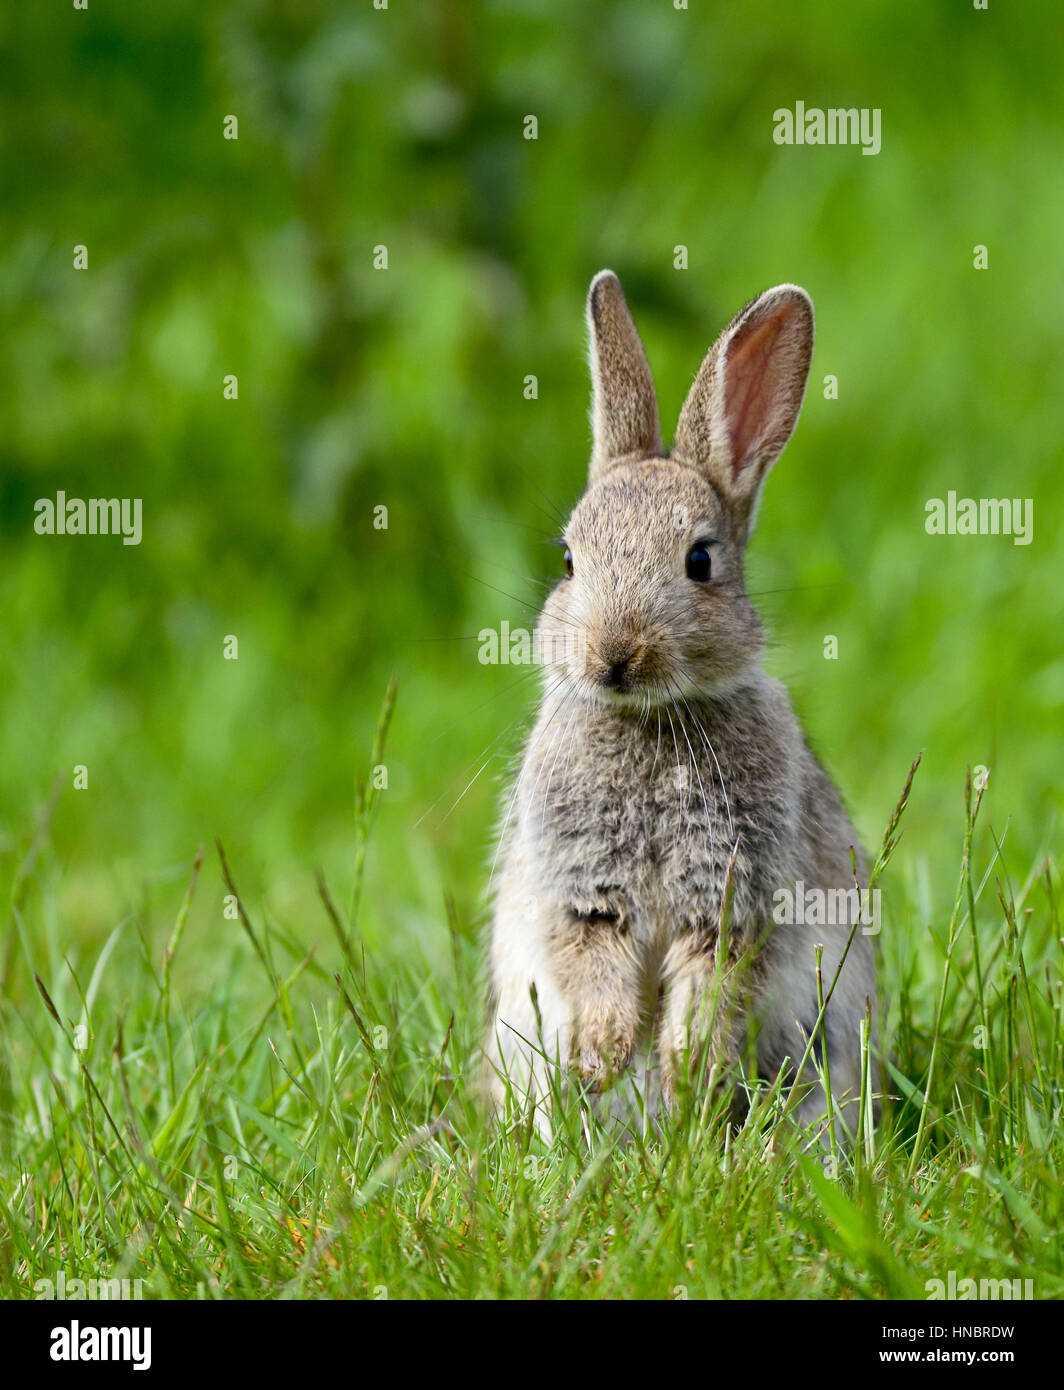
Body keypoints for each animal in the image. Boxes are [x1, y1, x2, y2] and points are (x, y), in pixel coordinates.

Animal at [484, 270, 877, 1139]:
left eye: (700, 561)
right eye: (569, 560)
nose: (613, 654)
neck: (652, 721)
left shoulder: (734, 899)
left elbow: (709, 980)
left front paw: (687, 1069)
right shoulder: (582, 892)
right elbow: (593, 962)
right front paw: (604, 1057)